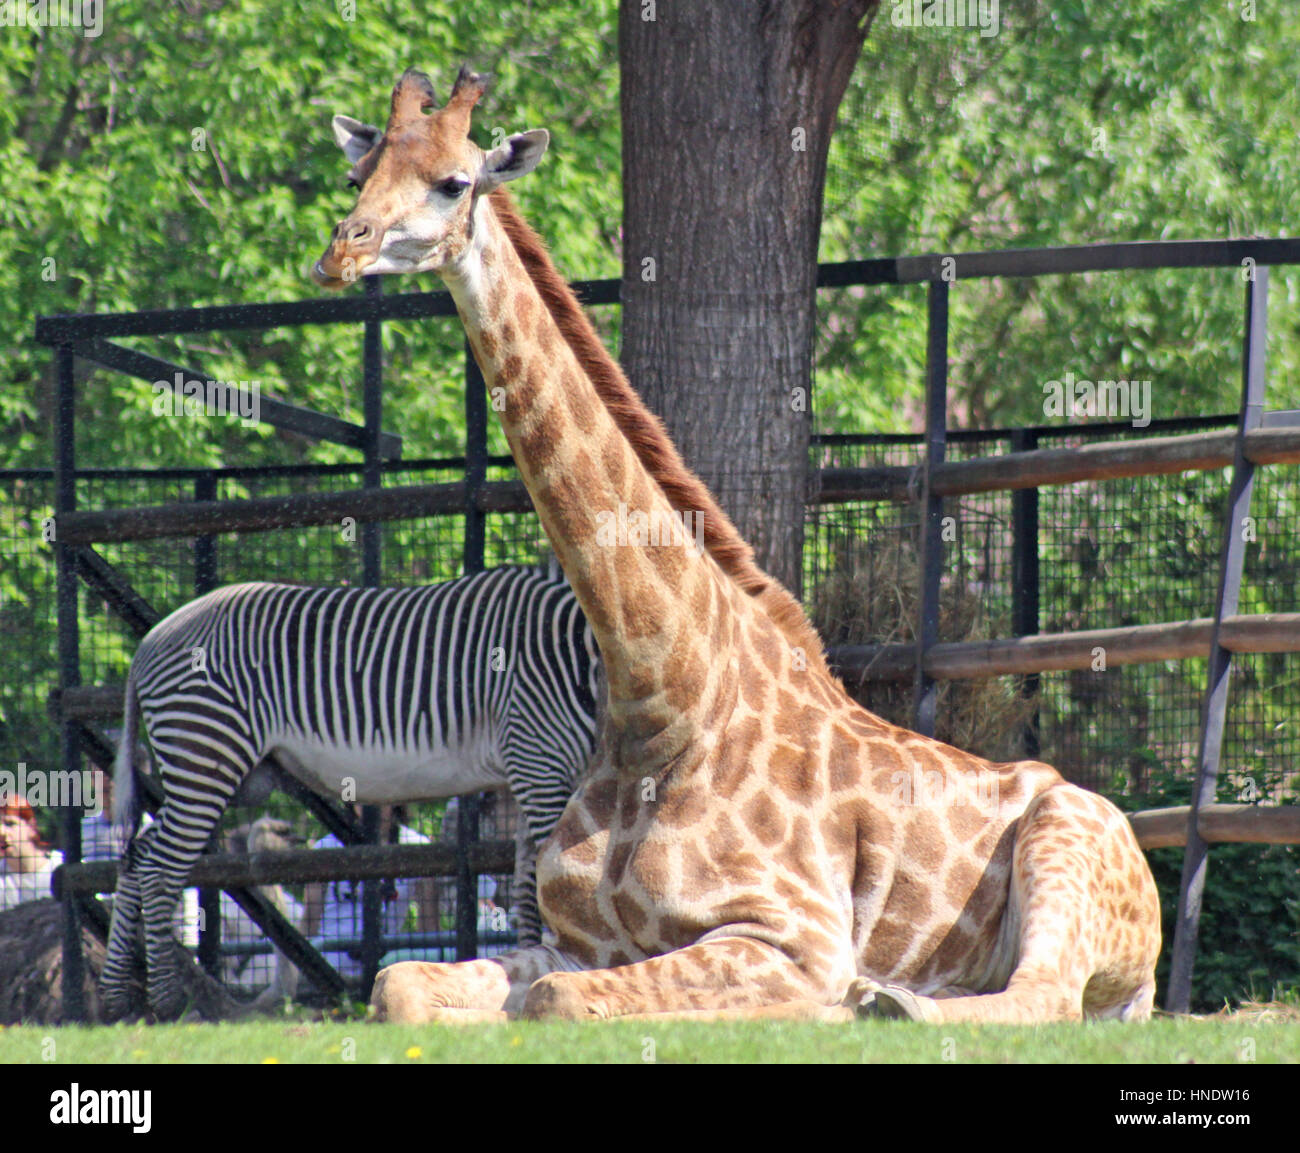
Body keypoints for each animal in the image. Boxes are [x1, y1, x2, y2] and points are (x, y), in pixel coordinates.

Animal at [310, 67, 1161, 1024]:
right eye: (359, 175)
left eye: (455, 180)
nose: (342, 251)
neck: (659, 694)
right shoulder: (568, 939)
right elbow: (400, 984)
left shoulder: (794, 936)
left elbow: (562, 1001)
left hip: (1064, 839)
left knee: (1041, 992)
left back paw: (882, 1002)